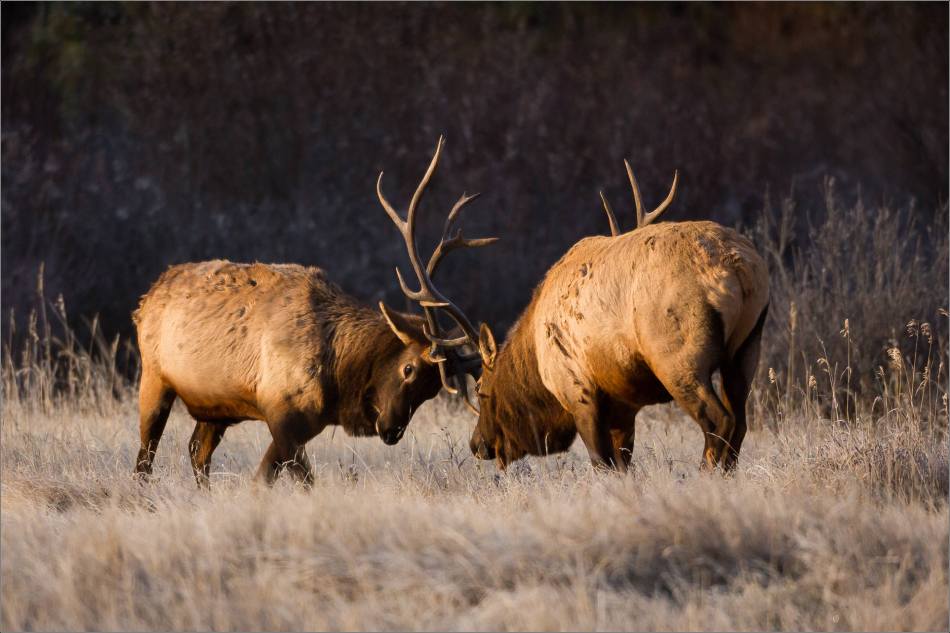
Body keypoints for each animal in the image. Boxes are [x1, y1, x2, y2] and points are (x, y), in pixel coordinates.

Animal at [132, 159, 495, 487]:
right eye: (408, 369)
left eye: (433, 390)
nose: (391, 430)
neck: (337, 379)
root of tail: (147, 297)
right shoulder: (281, 414)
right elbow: (283, 480)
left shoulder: (306, 425)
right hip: (154, 376)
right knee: (145, 458)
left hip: (215, 406)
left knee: (197, 451)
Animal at [382, 141, 770, 473]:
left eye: (481, 390)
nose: (478, 444)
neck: (535, 356)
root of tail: (741, 268)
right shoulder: (622, 405)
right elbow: (624, 463)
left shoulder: (577, 389)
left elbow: (603, 464)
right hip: (745, 351)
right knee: (740, 423)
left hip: (678, 357)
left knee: (719, 422)